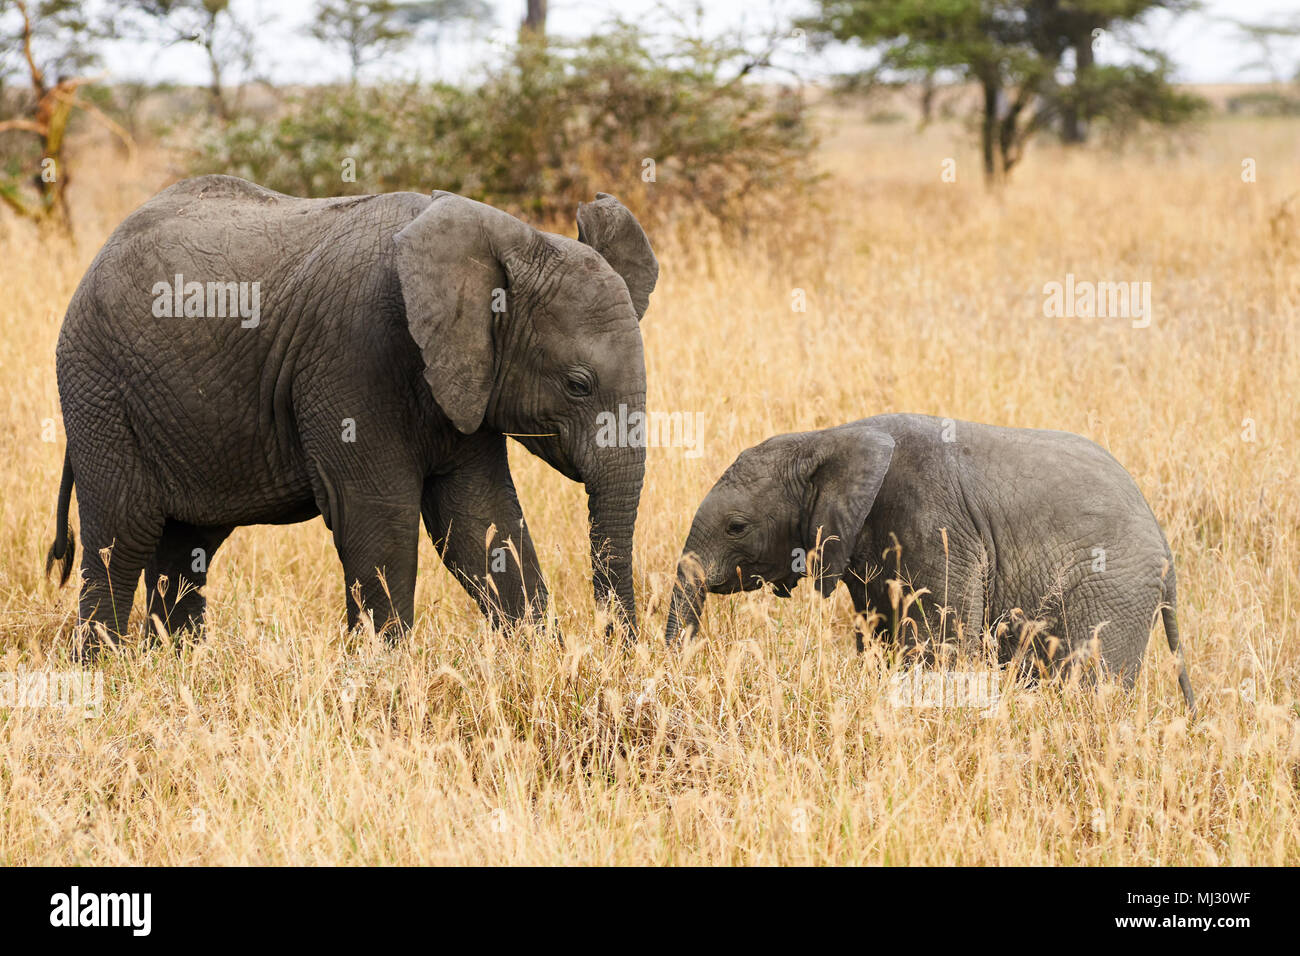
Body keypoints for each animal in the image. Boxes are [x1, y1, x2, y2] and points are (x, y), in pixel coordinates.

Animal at [45, 175, 658, 650]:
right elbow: (379, 523)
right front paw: (386, 681)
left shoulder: (465, 379)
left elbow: (480, 521)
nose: (617, 647)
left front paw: (541, 664)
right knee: (122, 535)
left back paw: (177, 667)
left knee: (185, 548)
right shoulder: (355, 355)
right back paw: (103, 675)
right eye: (578, 385)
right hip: (98, 386)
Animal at [663, 414, 1196, 712]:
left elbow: (938, 644)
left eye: (736, 527)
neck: (828, 439)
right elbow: (880, 636)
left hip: (1113, 591)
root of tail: (1166, 553)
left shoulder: (934, 525)